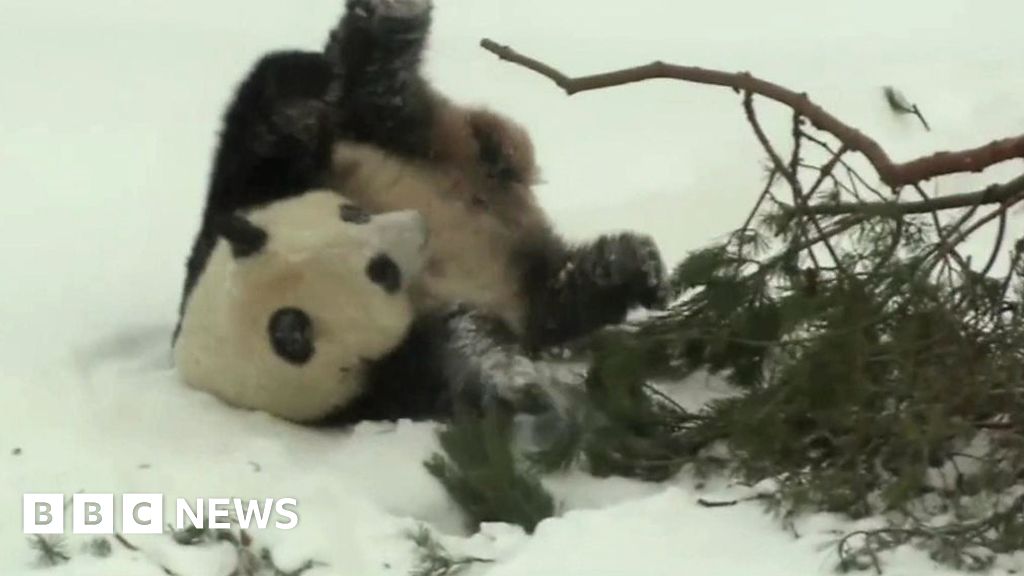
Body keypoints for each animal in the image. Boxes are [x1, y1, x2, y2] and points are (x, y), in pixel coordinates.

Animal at [174, 0, 667, 423]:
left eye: (352, 213)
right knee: (560, 296)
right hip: (526, 276)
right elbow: (467, 346)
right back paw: (623, 267)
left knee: (378, 98)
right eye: (383, 272)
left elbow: (266, 107)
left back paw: (386, 20)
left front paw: (301, 101)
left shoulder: (246, 195)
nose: (418, 222)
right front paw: (517, 389)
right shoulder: (382, 381)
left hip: (413, 143)